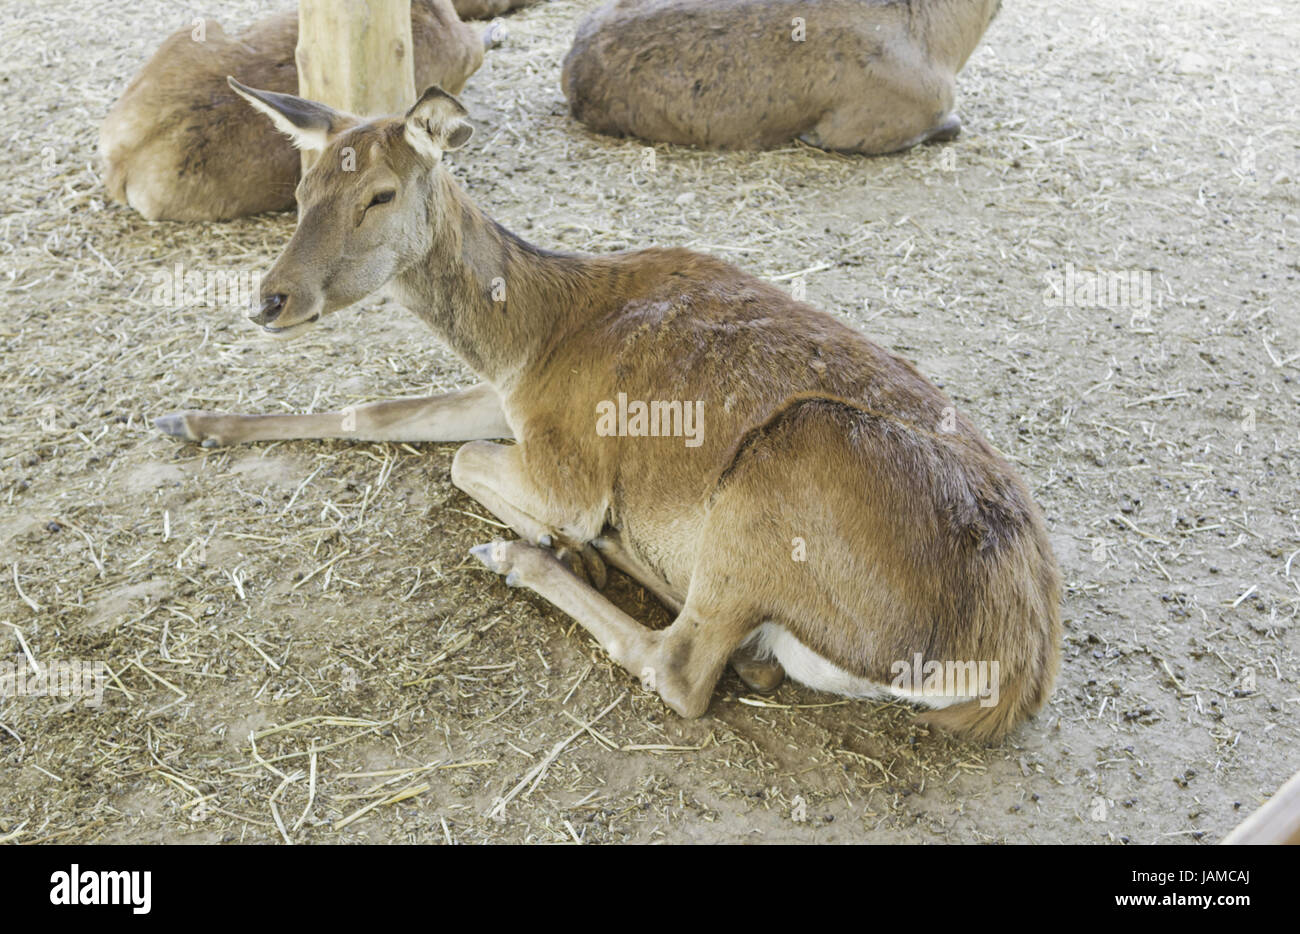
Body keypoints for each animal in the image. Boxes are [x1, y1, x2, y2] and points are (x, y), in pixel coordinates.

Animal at [155, 77, 1062, 742]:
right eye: (301, 185)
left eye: (378, 194)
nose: (269, 300)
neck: (536, 333)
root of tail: (1010, 674)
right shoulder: (514, 401)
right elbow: (384, 412)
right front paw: (186, 420)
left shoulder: (567, 460)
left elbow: (462, 462)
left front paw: (554, 536)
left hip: (782, 470)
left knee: (682, 666)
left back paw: (532, 556)